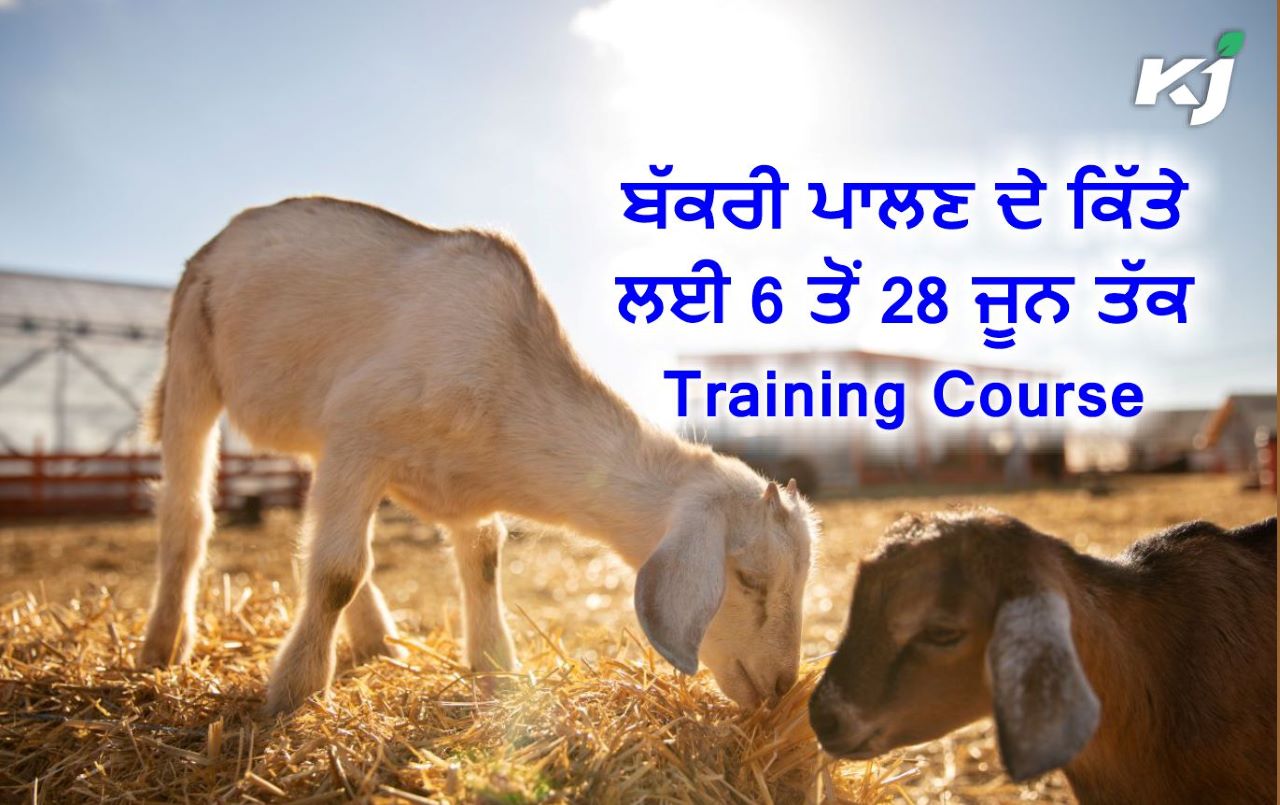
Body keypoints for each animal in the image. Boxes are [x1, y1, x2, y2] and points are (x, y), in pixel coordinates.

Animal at [139, 197, 818, 715]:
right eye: (749, 578)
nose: (782, 686)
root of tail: (225, 236)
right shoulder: (360, 433)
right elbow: (336, 572)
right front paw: (294, 690)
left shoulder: (442, 479)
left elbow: (482, 561)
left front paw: (498, 671)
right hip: (193, 352)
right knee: (188, 511)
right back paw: (161, 647)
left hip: (315, 431)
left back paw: (378, 640)